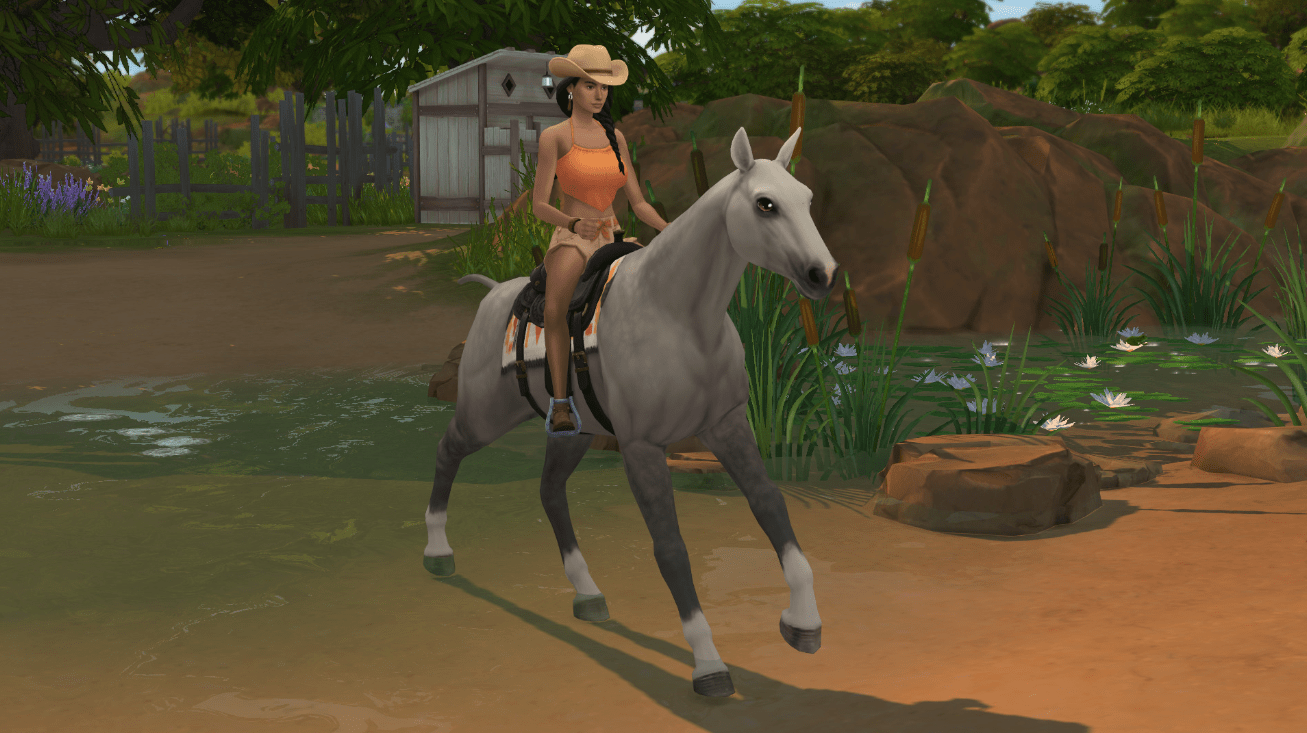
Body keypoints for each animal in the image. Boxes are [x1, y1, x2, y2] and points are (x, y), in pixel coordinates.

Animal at [425, 126, 837, 697]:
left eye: (809, 199)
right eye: (765, 204)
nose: (824, 275)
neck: (680, 315)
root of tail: (491, 296)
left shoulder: (728, 425)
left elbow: (772, 509)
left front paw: (804, 623)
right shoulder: (643, 447)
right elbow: (670, 548)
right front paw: (708, 664)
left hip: (572, 434)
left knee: (550, 492)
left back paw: (587, 594)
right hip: (485, 415)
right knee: (447, 451)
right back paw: (438, 552)